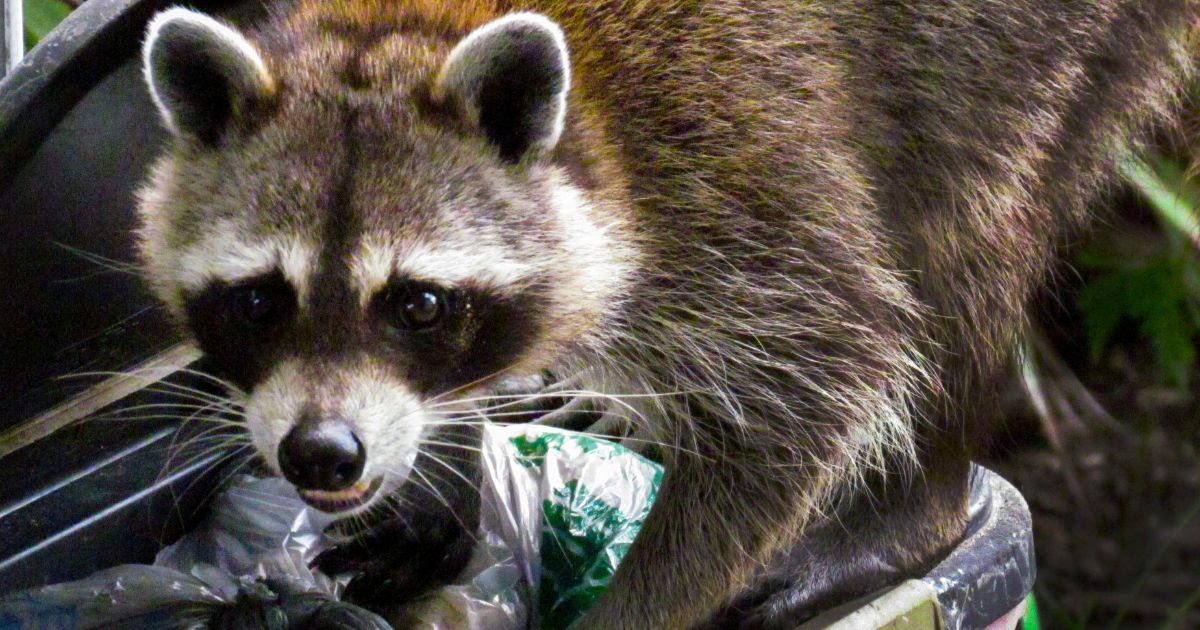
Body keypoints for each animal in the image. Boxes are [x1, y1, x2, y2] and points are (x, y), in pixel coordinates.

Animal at [135, 0, 1199, 627]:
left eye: (419, 304)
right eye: (261, 299)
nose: (322, 455)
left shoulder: (735, 185)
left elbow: (830, 370)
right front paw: (447, 476)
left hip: (1034, 52)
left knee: (963, 232)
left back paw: (912, 507)